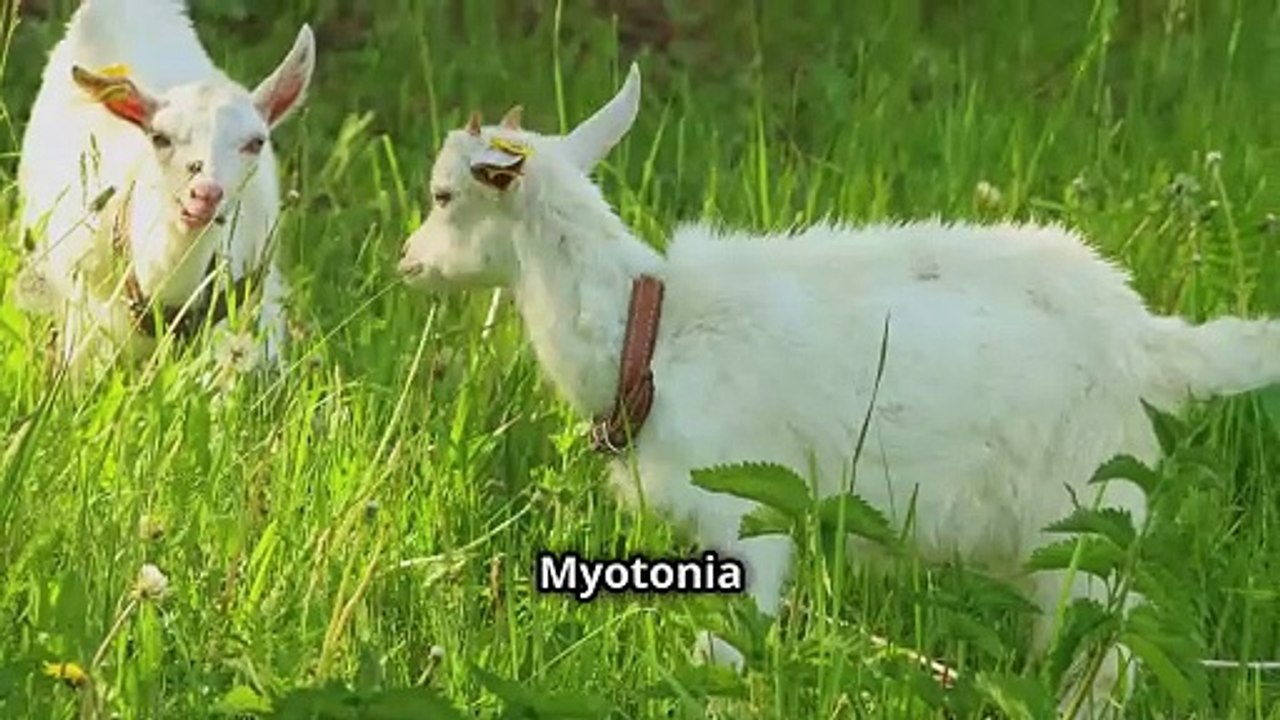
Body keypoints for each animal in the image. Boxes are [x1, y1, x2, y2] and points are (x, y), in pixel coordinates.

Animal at [396, 64, 1280, 717]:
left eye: (443, 195)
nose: (406, 263)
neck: (650, 331)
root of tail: (1151, 341)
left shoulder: (742, 511)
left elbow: (725, 652)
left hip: (1089, 509)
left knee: (1111, 653)